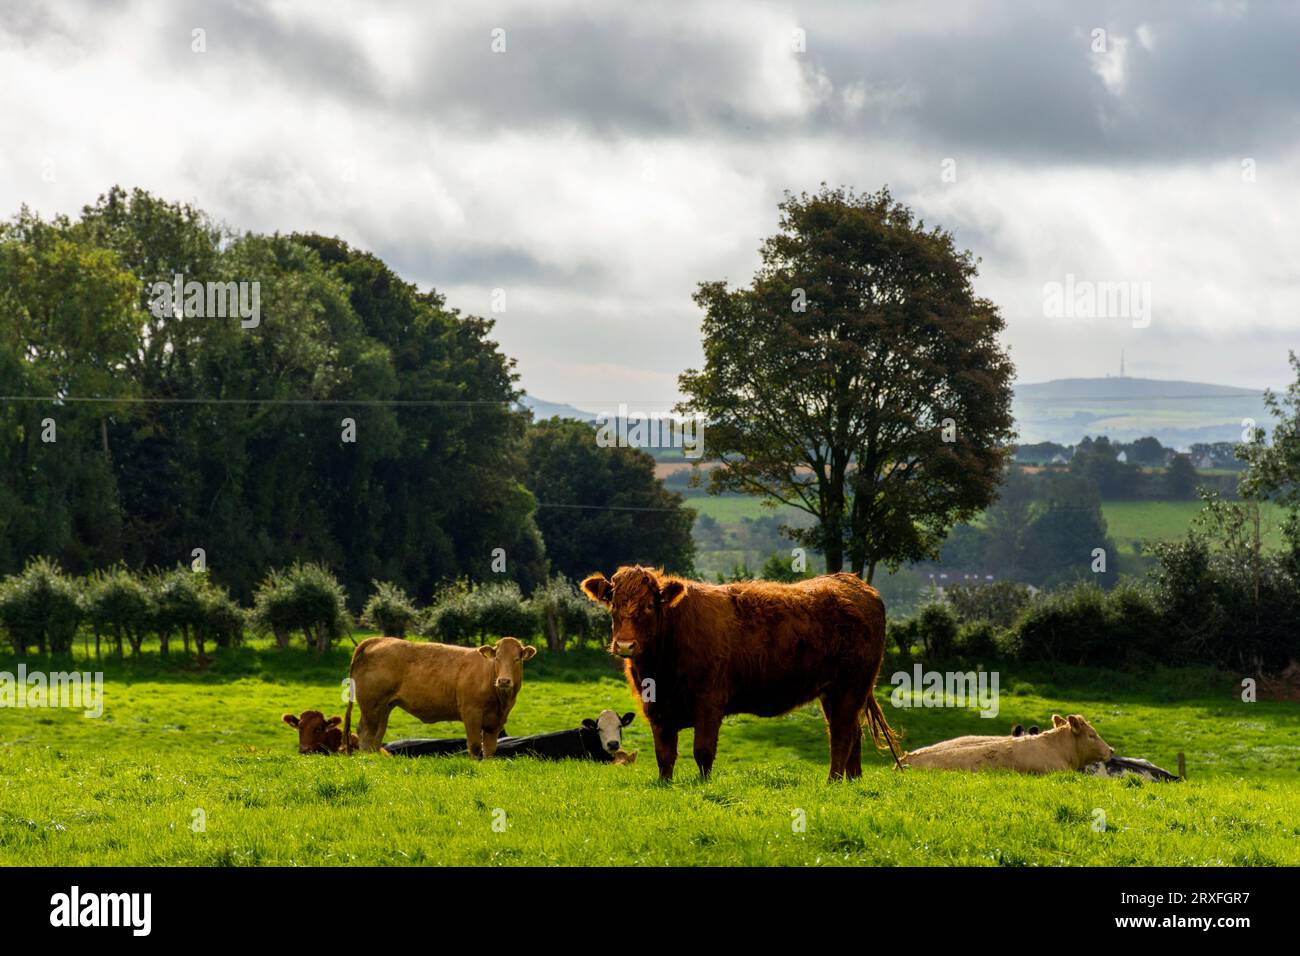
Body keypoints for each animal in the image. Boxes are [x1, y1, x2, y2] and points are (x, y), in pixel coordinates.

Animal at [343, 636, 537, 755]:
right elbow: (475, 747)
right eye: (497, 658)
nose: (504, 681)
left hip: (384, 707)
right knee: (365, 733)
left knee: (377, 736)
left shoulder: (496, 722)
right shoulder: (471, 714)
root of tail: (378, 639)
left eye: (517, 659)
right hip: (371, 706)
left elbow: (489, 749)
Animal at [581, 566, 901, 782]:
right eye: (613, 605)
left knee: (842, 735)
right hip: (835, 692)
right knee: (853, 733)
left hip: (851, 686)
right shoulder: (657, 709)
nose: (625, 644)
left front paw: (704, 784)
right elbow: (665, 755)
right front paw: (665, 784)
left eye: (648, 606)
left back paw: (833, 782)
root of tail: (851, 581)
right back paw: (852, 781)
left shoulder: (709, 703)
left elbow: (702, 751)